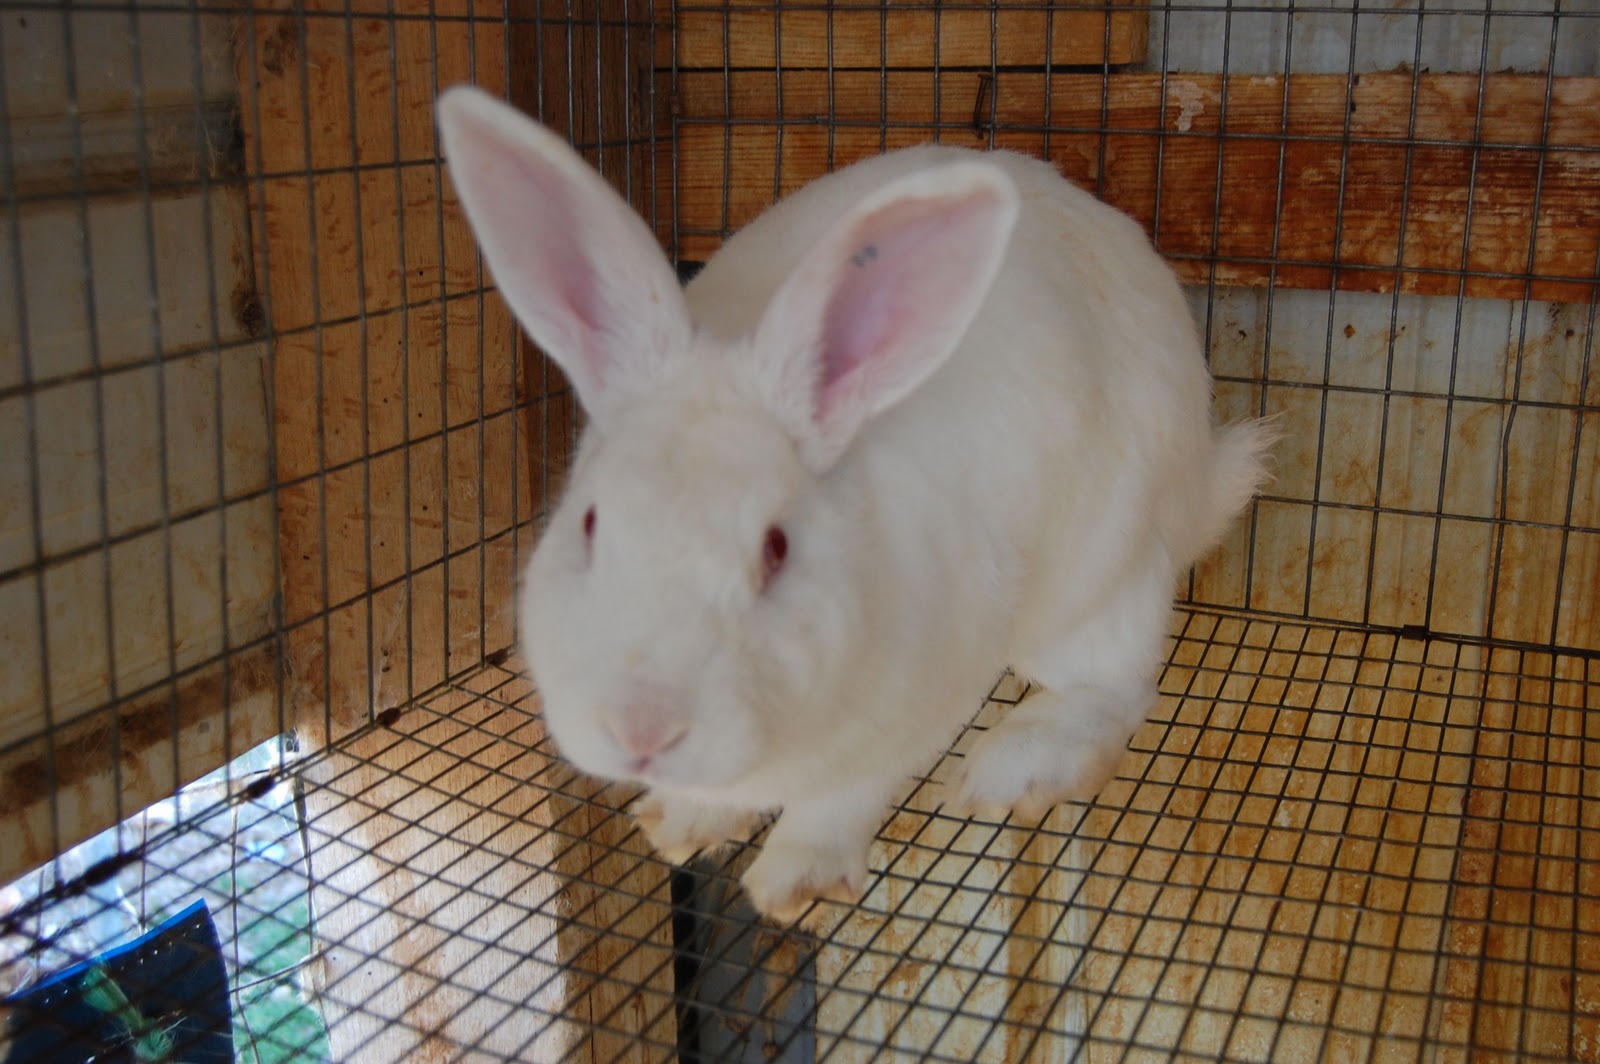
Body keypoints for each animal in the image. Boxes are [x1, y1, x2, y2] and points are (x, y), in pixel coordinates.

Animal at [436, 85, 1273, 927]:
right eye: (590, 524)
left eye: (775, 549)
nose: (641, 729)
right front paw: (679, 827)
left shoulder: (916, 710)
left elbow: (846, 797)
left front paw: (792, 886)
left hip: (1103, 567)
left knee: (1115, 682)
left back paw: (1013, 772)